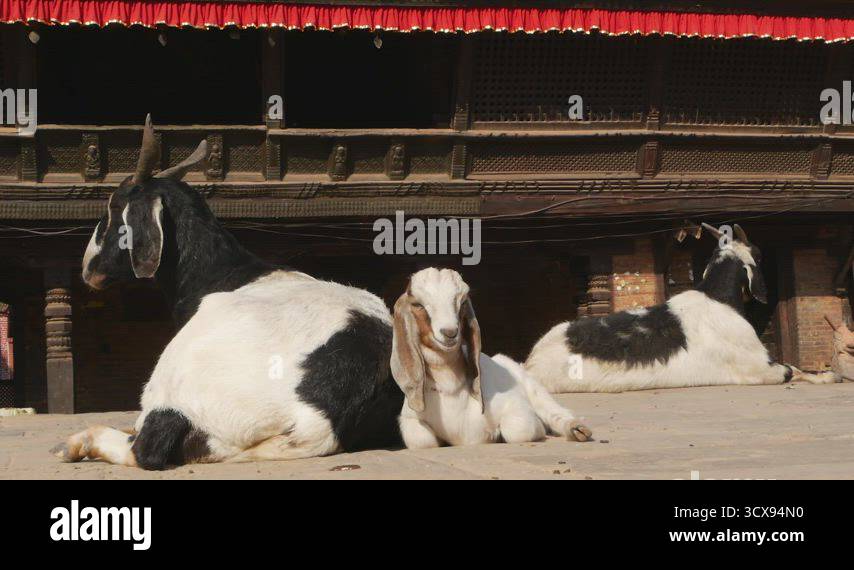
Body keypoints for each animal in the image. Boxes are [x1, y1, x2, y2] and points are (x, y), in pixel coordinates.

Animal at [53, 116, 403, 469]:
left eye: (112, 209)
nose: (88, 269)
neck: (225, 274)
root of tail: (320, 419)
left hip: (176, 385)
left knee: (145, 447)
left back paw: (76, 443)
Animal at [390, 268, 592, 448]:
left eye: (462, 302)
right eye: (418, 305)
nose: (449, 332)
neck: (451, 388)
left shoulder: (514, 405)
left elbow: (518, 429)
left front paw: (503, 434)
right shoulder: (411, 419)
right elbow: (422, 442)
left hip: (532, 387)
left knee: (553, 410)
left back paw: (576, 429)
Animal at [525, 224, 839, 393]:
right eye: (759, 255)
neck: (718, 299)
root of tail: (532, 361)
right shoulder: (760, 369)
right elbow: (793, 368)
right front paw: (830, 376)